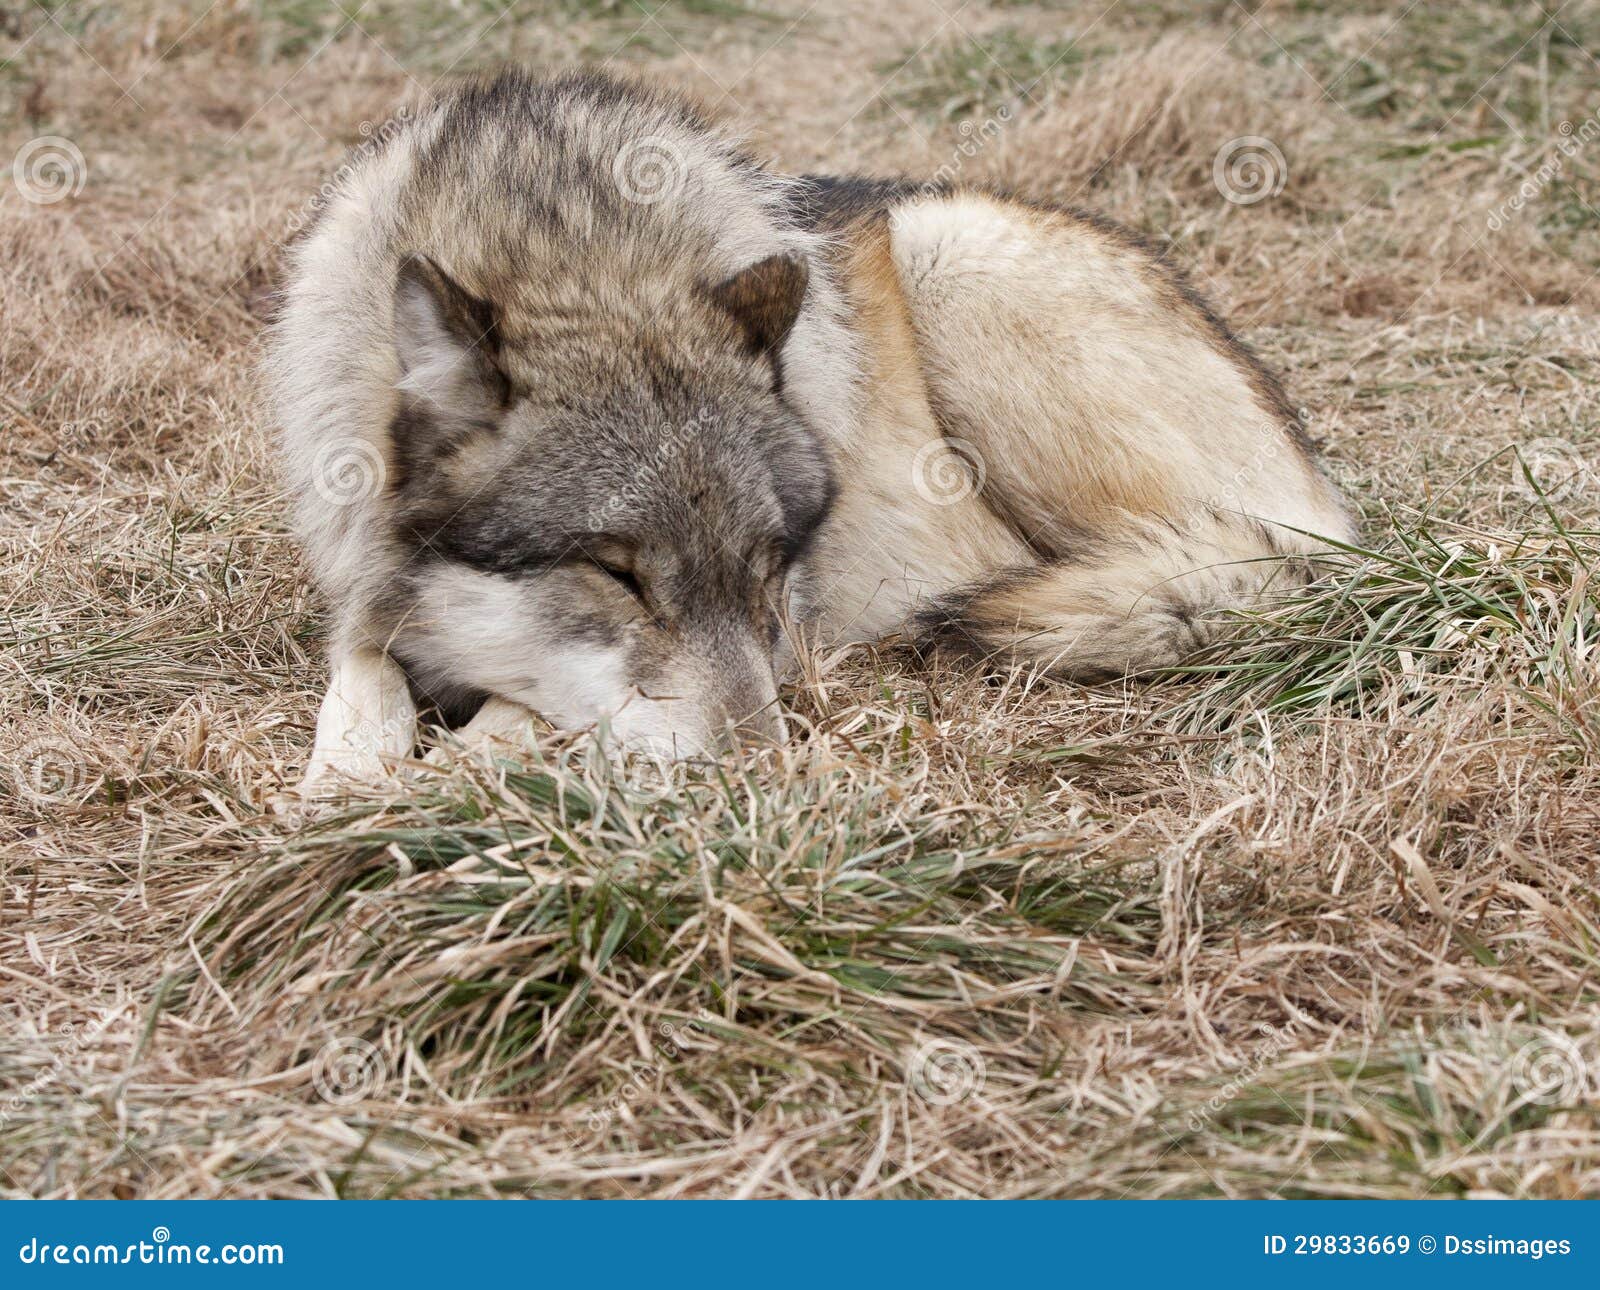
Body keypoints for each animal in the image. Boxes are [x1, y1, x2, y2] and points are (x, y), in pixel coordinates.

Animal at [265, 68, 1355, 794]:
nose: (764, 776)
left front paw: (437, 776)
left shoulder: (779, 627)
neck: (573, 249)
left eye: (764, 565)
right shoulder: (358, 570)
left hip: (945, 248)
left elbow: (522, 703)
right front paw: (345, 784)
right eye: (615, 575)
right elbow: (359, 678)